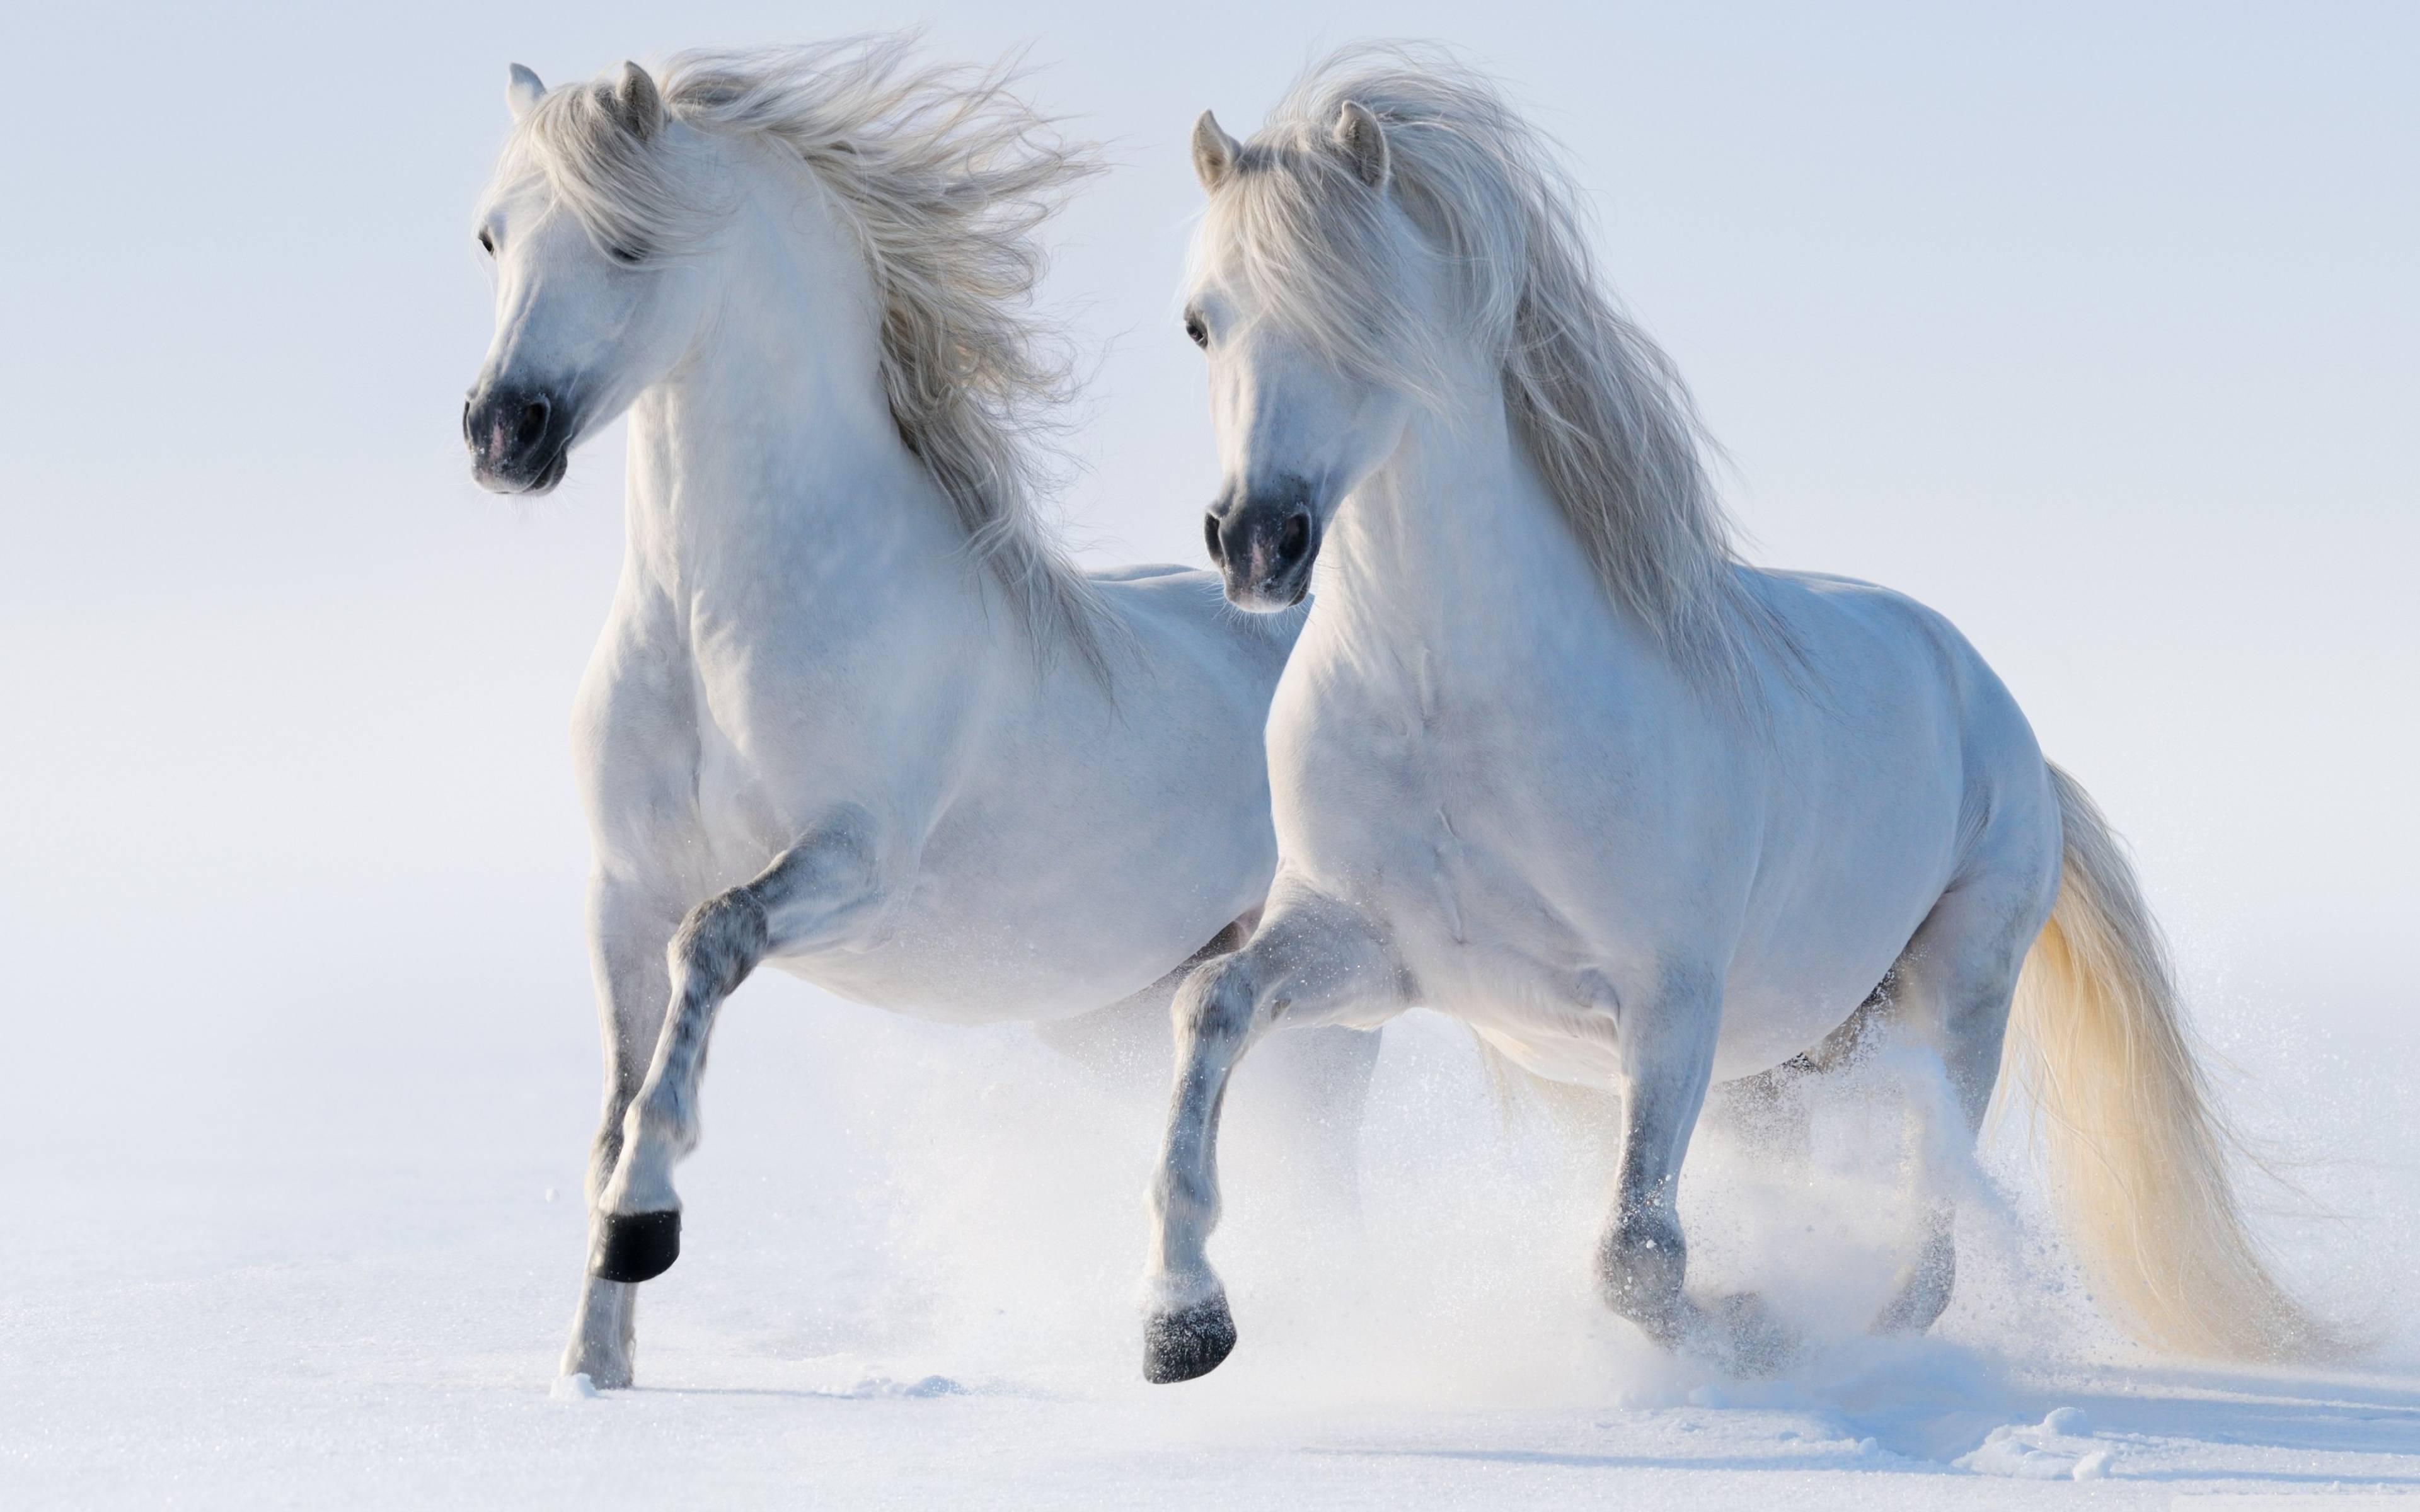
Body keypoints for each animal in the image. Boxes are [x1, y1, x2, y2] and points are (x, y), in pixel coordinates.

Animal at [460, 39, 1377, 1391]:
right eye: (493, 236)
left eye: (627, 243)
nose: (501, 433)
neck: (716, 621)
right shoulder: (620, 891)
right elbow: (613, 1109)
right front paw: (595, 1370)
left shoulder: (853, 865)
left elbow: (710, 950)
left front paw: (646, 1227)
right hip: (1112, 1016)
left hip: (1326, 1008)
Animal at [1139, 45, 2335, 1383]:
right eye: (1201, 321)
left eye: (1362, 313)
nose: (1258, 541)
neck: (1452, 704)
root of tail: (2008, 727)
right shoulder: (1369, 951)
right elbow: (1208, 1005)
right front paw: (1182, 1322)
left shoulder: (1670, 1002)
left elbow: (1638, 1258)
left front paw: (1751, 1329)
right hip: (1782, 1065)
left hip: (1951, 1001)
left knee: (1929, 1231)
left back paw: (1861, 1339)